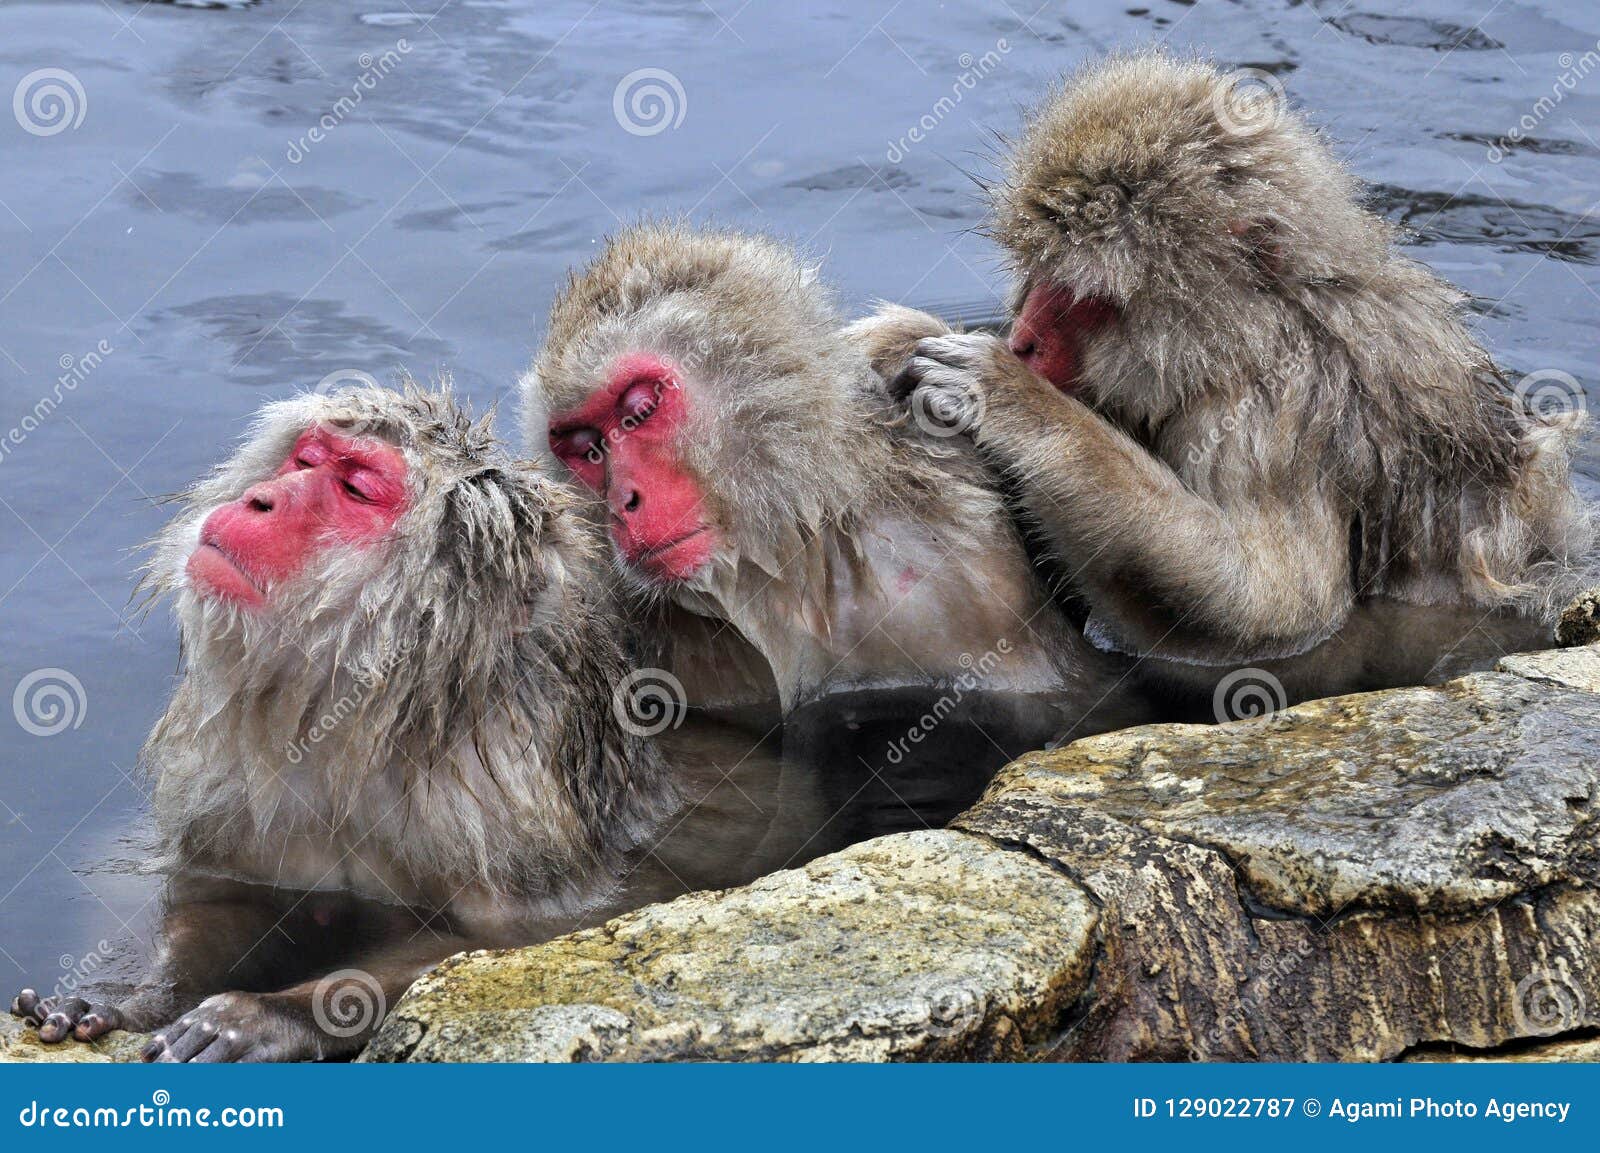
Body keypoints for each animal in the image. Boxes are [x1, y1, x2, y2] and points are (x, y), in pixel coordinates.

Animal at [11, 384, 675, 1061]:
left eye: (355, 488)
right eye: (305, 461)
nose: (260, 499)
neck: (367, 721)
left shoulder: (511, 806)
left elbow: (527, 939)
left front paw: (267, 1016)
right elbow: (226, 892)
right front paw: (129, 999)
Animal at [887, 50, 1595, 672]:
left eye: (1082, 295)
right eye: (1037, 269)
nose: (1023, 340)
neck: (1238, 341)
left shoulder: (1274, 412)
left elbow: (1272, 608)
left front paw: (1014, 403)